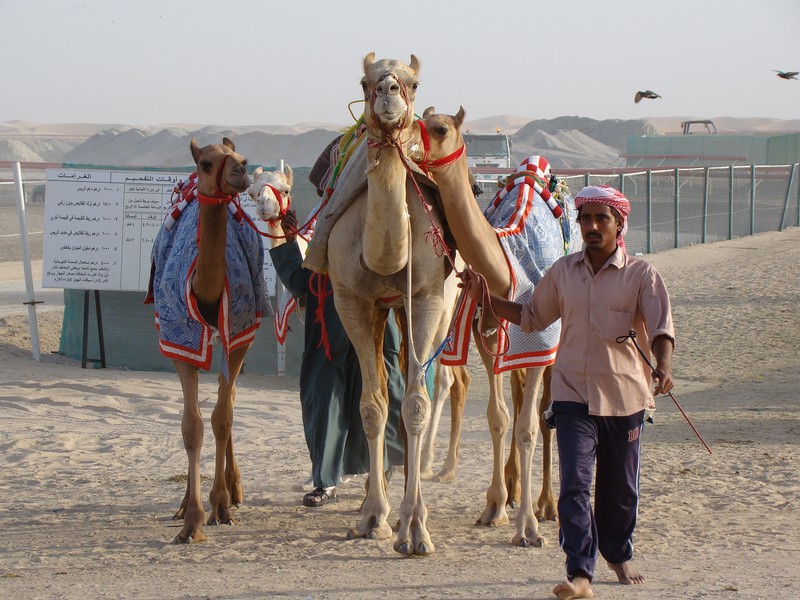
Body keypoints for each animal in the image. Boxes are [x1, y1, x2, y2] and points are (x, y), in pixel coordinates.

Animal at [148, 137, 269, 543]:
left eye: (240, 155)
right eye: (205, 162)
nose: (241, 169)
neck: (206, 292)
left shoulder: (240, 333)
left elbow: (222, 418)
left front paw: (220, 506)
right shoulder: (178, 341)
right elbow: (192, 426)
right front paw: (192, 520)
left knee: (226, 398)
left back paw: (234, 490)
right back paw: (187, 501)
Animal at [417, 107, 581, 547]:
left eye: (441, 128)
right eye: (421, 117)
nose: (406, 137)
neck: (503, 270)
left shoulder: (542, 341)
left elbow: (528, 426)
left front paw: (529, 527)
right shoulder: (487, 334)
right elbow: (499, 417)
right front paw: (494, 505)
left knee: (544, 411)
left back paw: (546, 504)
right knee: (520, 397)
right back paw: (515, 488)